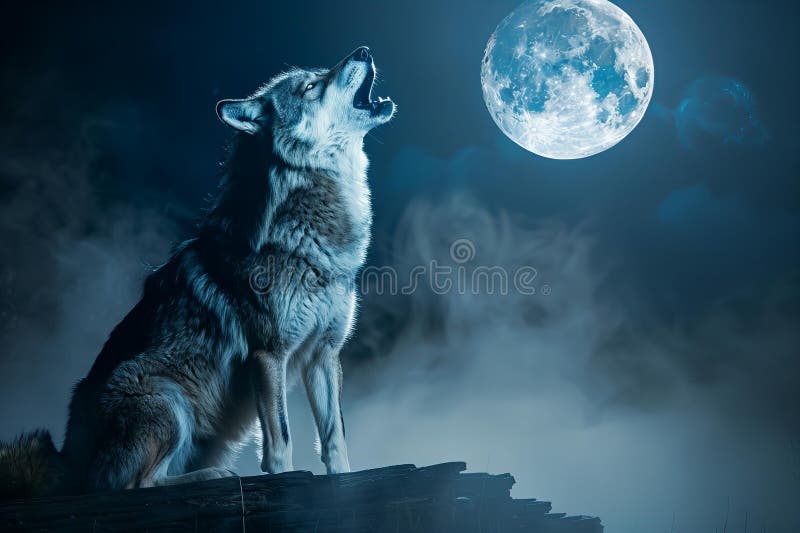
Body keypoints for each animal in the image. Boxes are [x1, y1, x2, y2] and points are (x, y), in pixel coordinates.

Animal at [0, 46, 394, 498]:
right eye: (312, 86)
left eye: (319, 73)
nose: (363, 50)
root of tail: (69, 461)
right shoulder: (268, 354)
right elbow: (281, 439)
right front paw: (285, 479)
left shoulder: (323, 355)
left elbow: (334, 436)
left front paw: (344, 481)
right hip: (167, 398)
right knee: (133, 485)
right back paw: (214, 477)